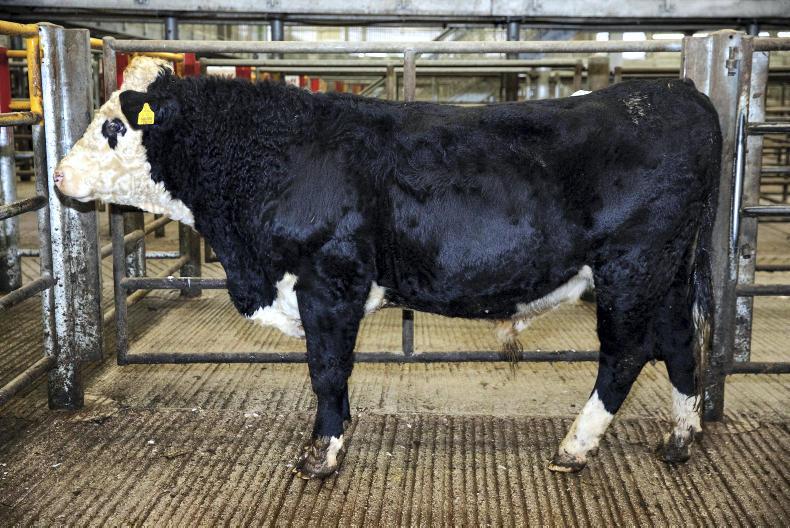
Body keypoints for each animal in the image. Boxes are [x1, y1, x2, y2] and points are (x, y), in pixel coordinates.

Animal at [55, 56, 721, 479]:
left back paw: (575, 449)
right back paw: (679, 440)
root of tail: (676, 92)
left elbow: (327, 371)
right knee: (679, 344)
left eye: (112, 125)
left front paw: (320, 457)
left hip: (632, 266)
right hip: (667, 274)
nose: (59, 176)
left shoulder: (328, 283)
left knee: (626, 354)